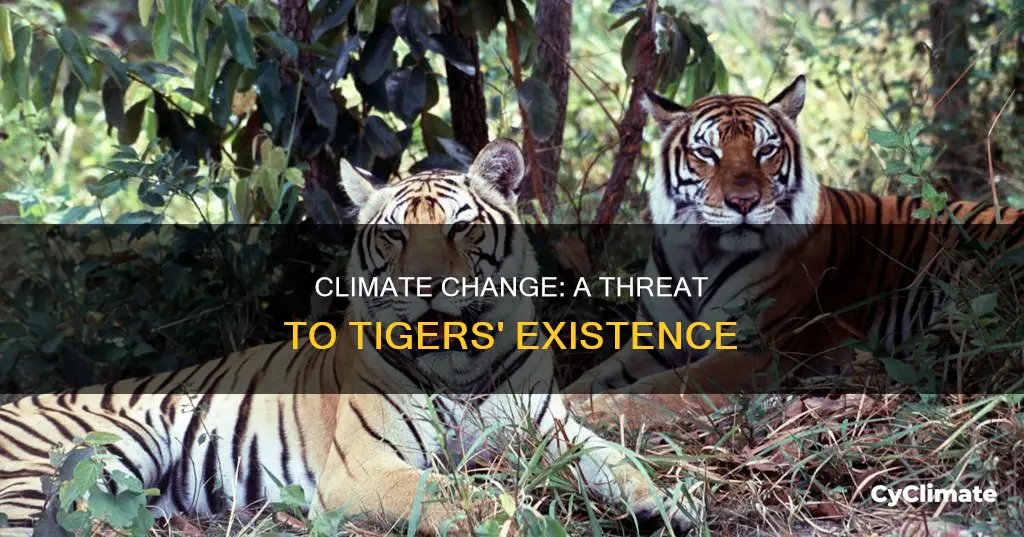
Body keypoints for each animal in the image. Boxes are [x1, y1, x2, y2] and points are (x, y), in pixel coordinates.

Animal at [0, 139, 696, 535]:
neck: (461, 360)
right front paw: (524, 519)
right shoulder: (363, 467)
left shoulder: (548, 425)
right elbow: (461, 493)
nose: (424, 285)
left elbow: (618, 459)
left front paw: (670, 505)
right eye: (393, 234)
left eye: (460, 228)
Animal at [565, 75, 1024, 399]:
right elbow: (587, 380)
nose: (744, 201)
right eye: (707, 153)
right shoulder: (651, 345)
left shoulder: (751, 352)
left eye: (765, 151)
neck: (700, 253)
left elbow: (653, 390)